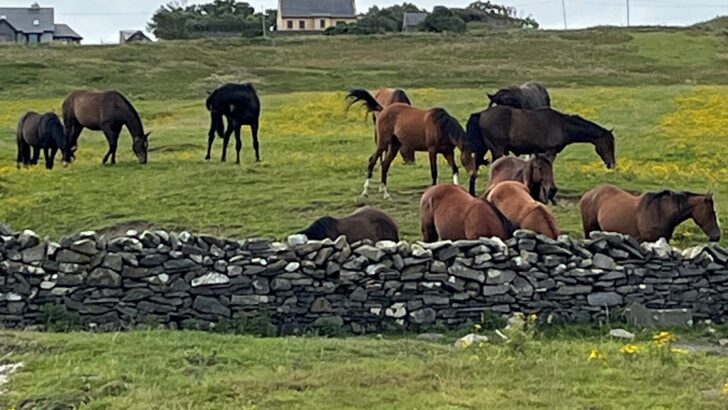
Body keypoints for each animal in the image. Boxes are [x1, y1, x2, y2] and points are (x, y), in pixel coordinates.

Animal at [347, 89, 486, 199]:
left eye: (476, 157)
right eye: (467, 157)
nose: (473, 174)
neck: (442, 126)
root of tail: (384, 110)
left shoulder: (448, 152)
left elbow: (455, 169)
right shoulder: (432, 151)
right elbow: (434, 172)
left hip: (395, 145)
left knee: (385, 165)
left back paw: (386, 194)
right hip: (383, 143)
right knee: (373, 160)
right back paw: (365, 192)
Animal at [466, 105, 616, 169]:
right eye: (609, 144)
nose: (612, 164)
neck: (562, 125)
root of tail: (481, 113)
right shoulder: (551, 151)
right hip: (497, 149)